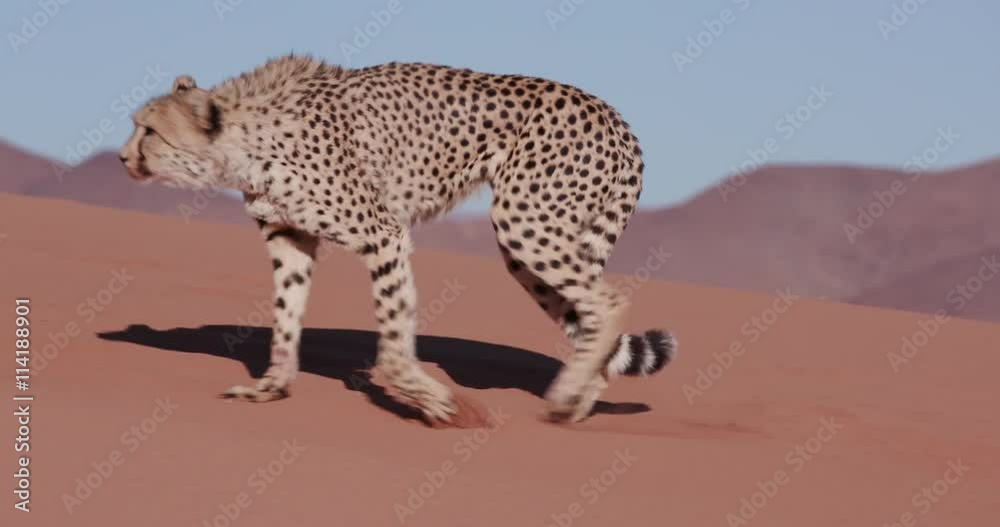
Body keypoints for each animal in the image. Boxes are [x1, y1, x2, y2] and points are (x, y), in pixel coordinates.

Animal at [119, 55, 676, 424]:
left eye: (148, 131)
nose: (122, 158)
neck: (244, 141)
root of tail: (616, 118)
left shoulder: (382, 235)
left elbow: (392, 332)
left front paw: (431, 399)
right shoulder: (290, 241)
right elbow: (285, 319)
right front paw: (272, 387)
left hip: (526, 224)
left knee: (608, 301)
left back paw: (565, 396)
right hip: (532, 246)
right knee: (587, 315)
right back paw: (579, 401)